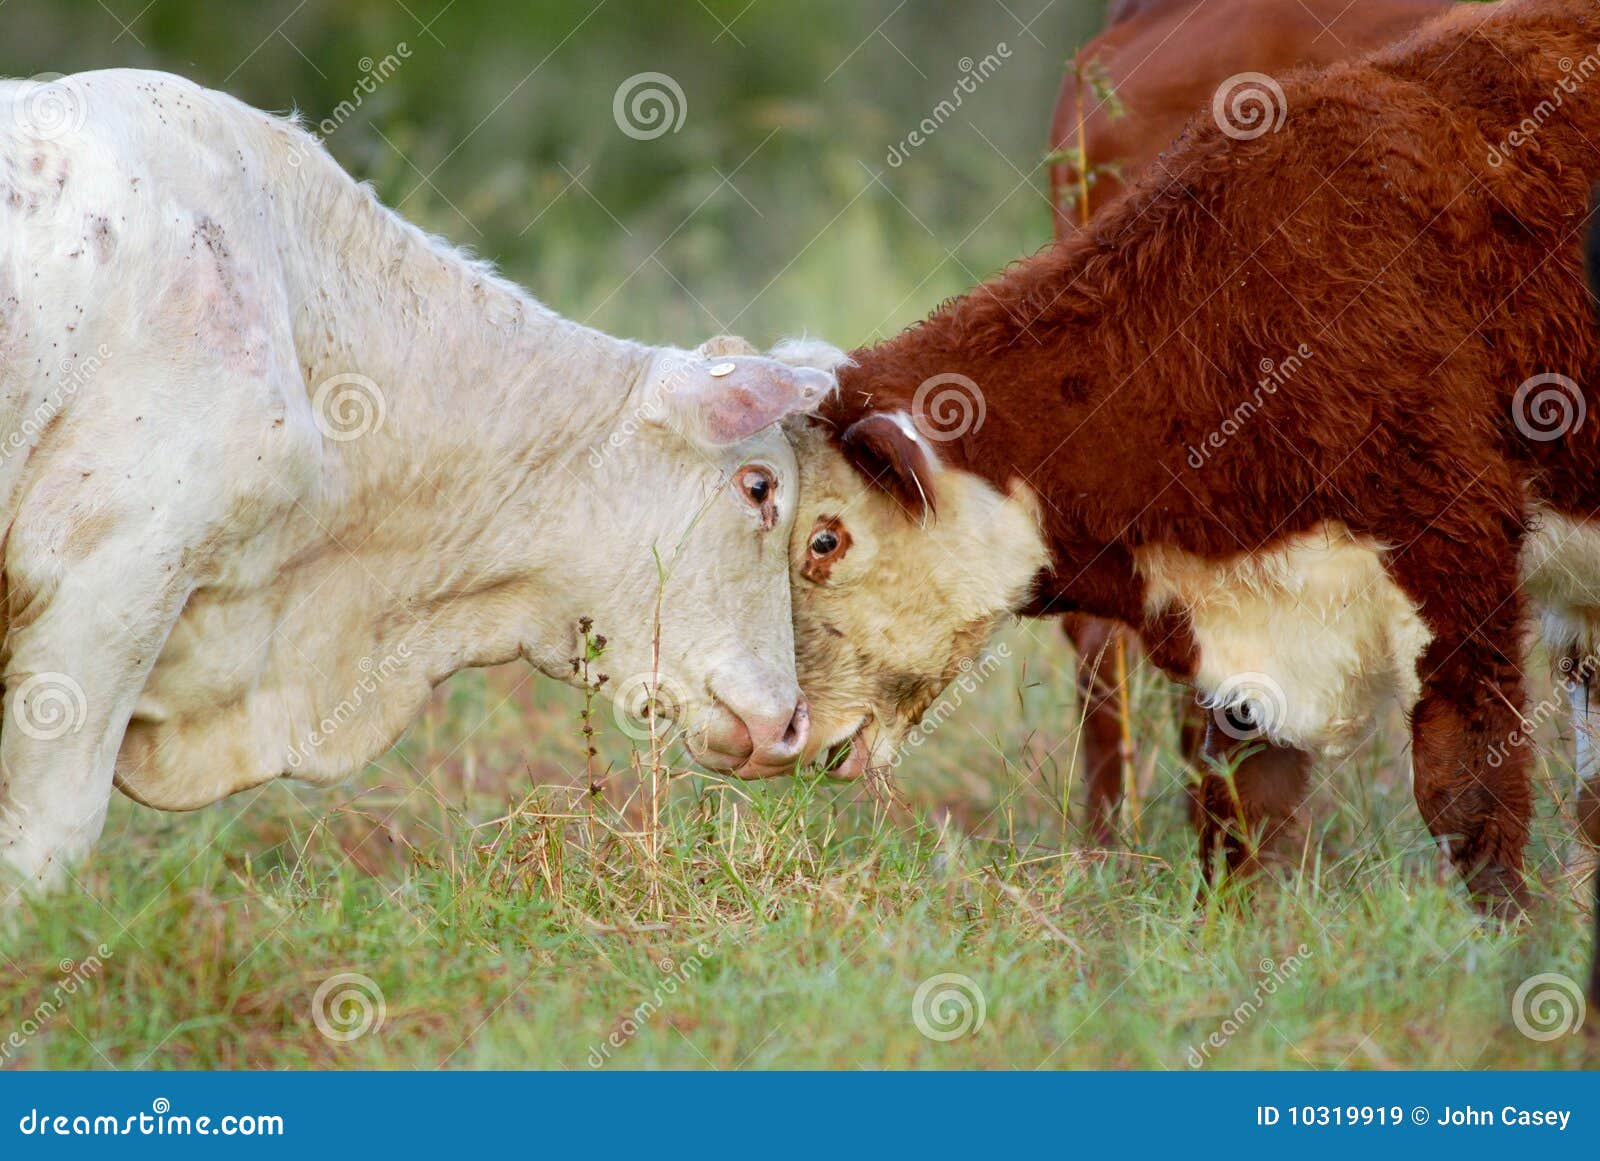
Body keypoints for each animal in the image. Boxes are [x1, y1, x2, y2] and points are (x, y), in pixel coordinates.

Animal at [792, 0, 1600, 966]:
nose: (785, 733)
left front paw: (1513, 955)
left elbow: (1468, 794)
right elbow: (1241, 810)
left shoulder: (1456, 551)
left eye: (825, 540)